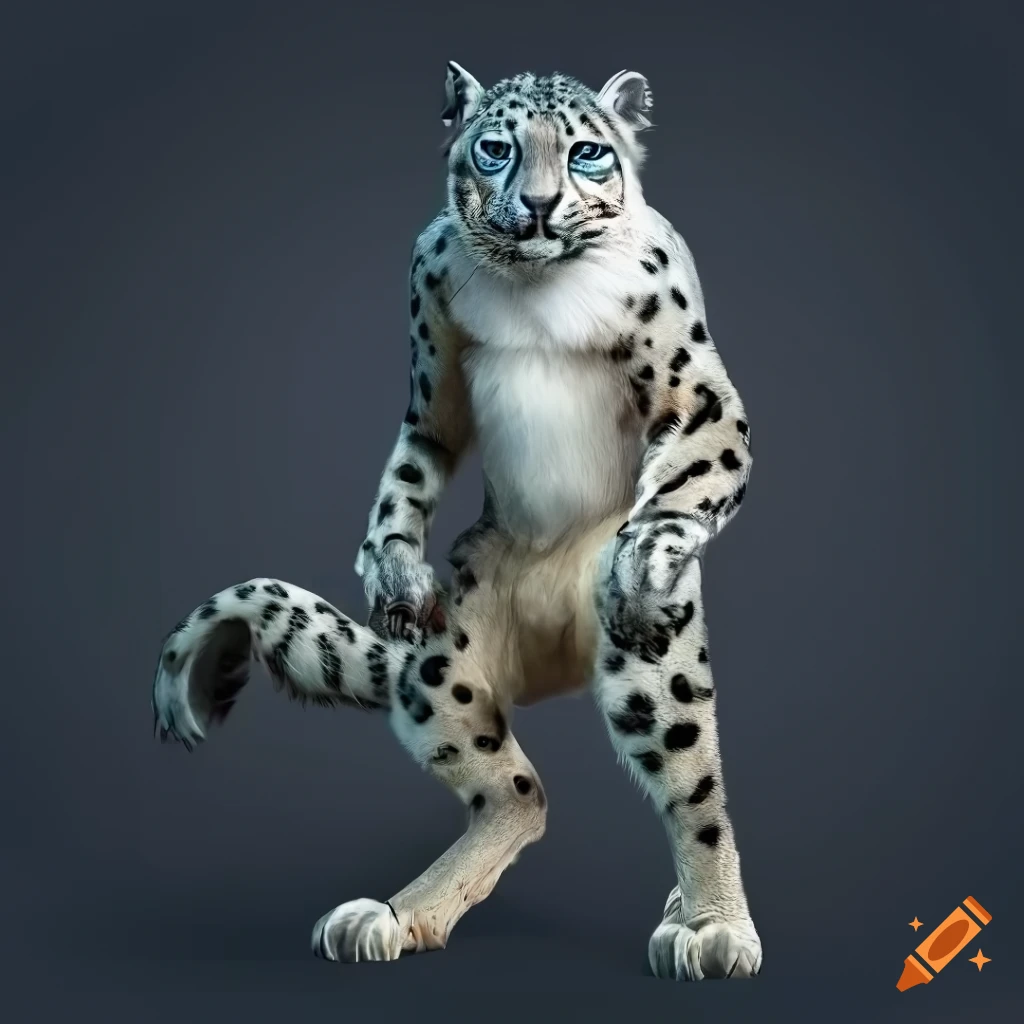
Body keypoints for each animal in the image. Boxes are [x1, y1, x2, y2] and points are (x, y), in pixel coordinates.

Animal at [151, 62, 762, 981]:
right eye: (497, 147)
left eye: (586, 152)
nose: (539, 205)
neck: (541, 289)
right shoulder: (426, 329)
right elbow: (414, 461)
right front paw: (395, 570)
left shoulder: (693, 381)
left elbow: (699, 454)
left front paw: (642, 566)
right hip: (449, 663)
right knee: (513, 792)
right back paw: (394, 916)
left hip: (651, 669)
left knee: (689, 780)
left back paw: (712, 925)